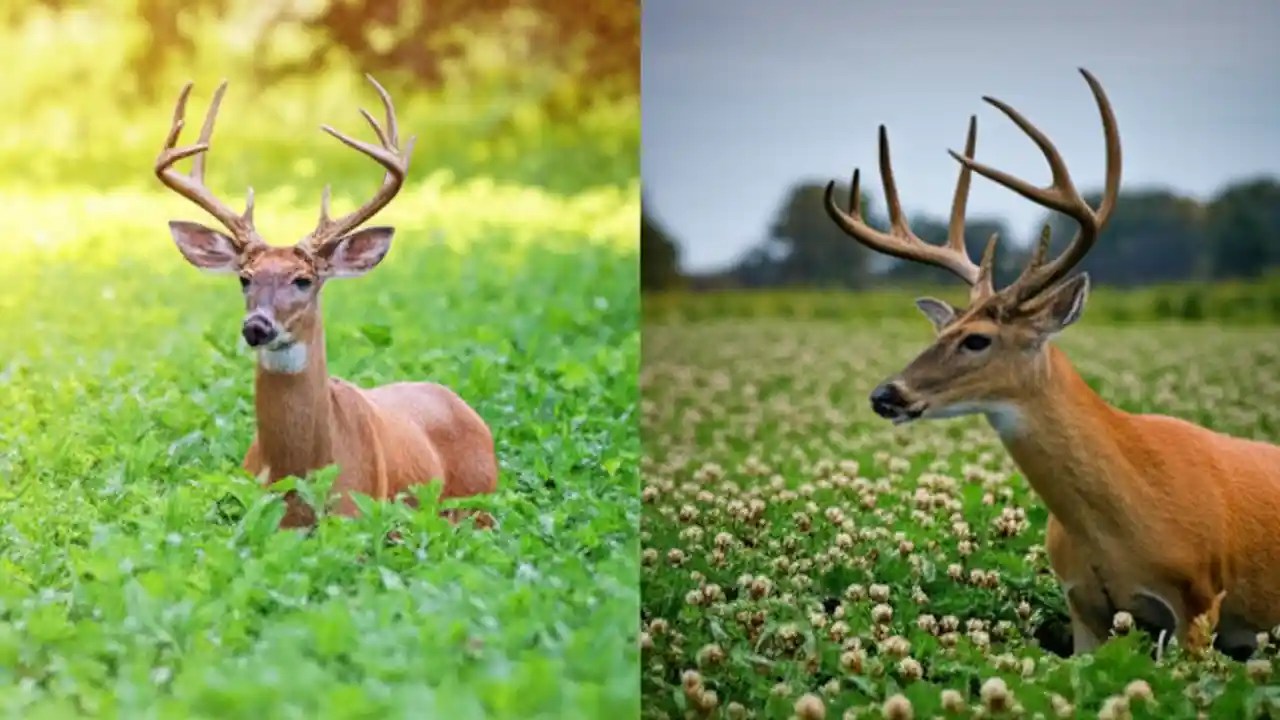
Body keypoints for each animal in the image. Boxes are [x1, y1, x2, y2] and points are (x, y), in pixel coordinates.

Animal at [155, 75, 499, 530]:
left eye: (304, 280)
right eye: (245, 278)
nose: (257, 326)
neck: (300, 474)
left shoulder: (363, 516)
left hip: (481, 506)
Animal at [822, 68, 1280, 660]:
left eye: (977, 340)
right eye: (940, 331)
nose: (887, 394)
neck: (1122, 521)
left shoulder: (1199, 602)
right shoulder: (1081, 605)